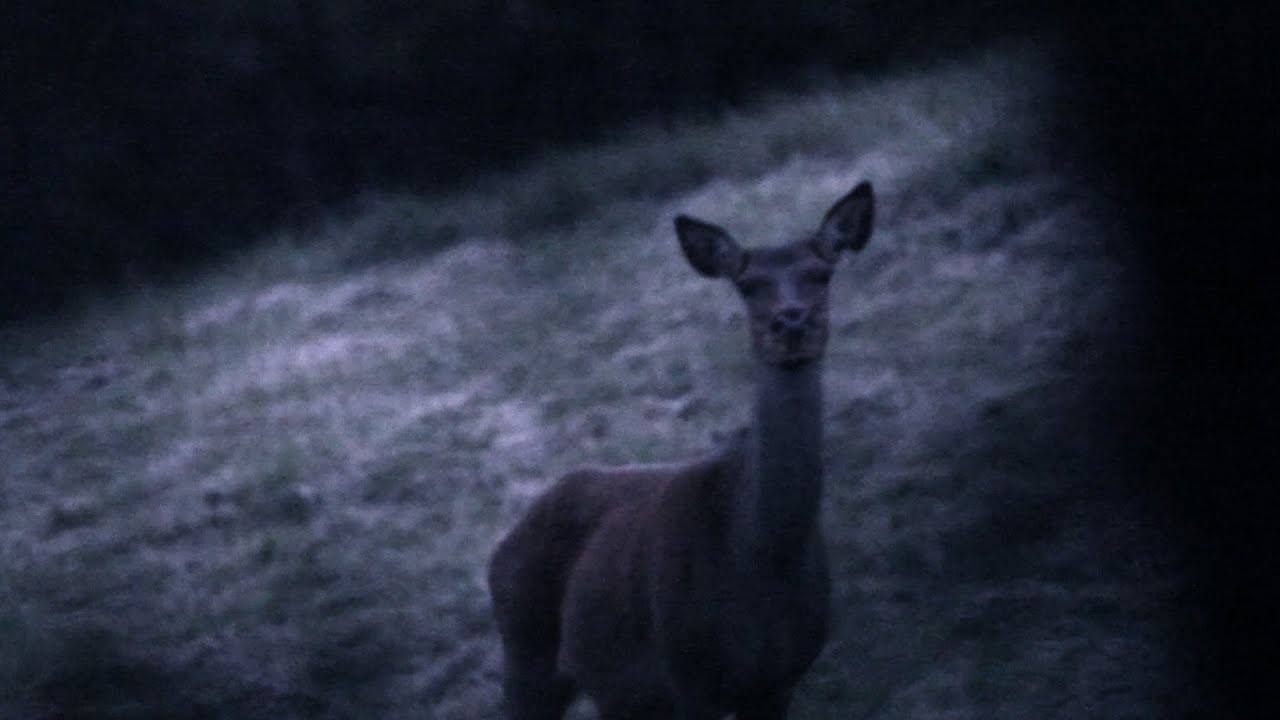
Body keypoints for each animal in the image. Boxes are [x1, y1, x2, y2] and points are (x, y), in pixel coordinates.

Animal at [488, 182, 875, 720]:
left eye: (822, 272)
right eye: (746, 284)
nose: (790, 323)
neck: (759, 555)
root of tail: (500, 548)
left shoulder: (781, 679)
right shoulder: (688, 675)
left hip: (619, 694)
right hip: (527, 651)